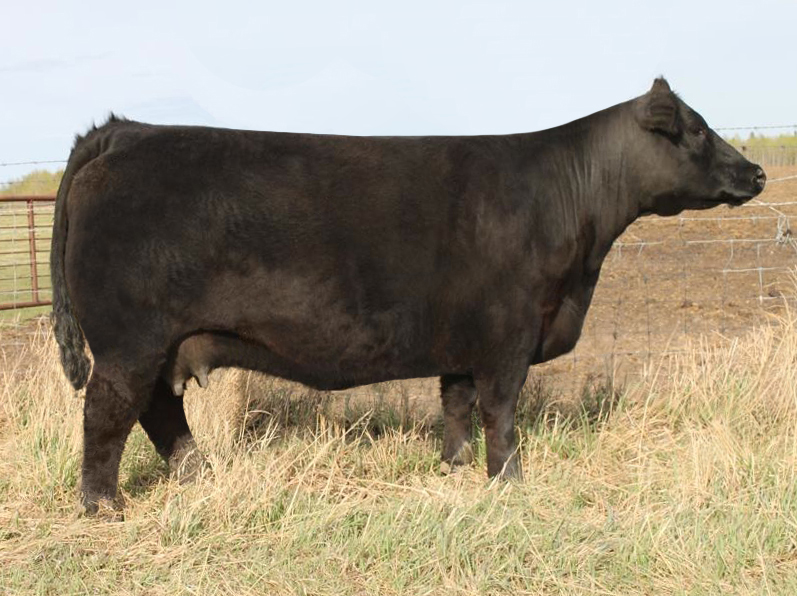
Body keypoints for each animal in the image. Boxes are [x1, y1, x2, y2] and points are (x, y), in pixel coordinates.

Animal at [51, 78, 765, 513]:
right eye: (696, 130)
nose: (757, 172)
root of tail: (129, 130)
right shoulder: (508, 337)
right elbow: (501, 413)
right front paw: (507, 483)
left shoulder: (463, 341)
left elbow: (456, 406)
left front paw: (454, 468)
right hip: (129, 342)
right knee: (107, 413)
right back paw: (105, 505)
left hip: (158, 345)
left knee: (158, 413)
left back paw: (198, 475)